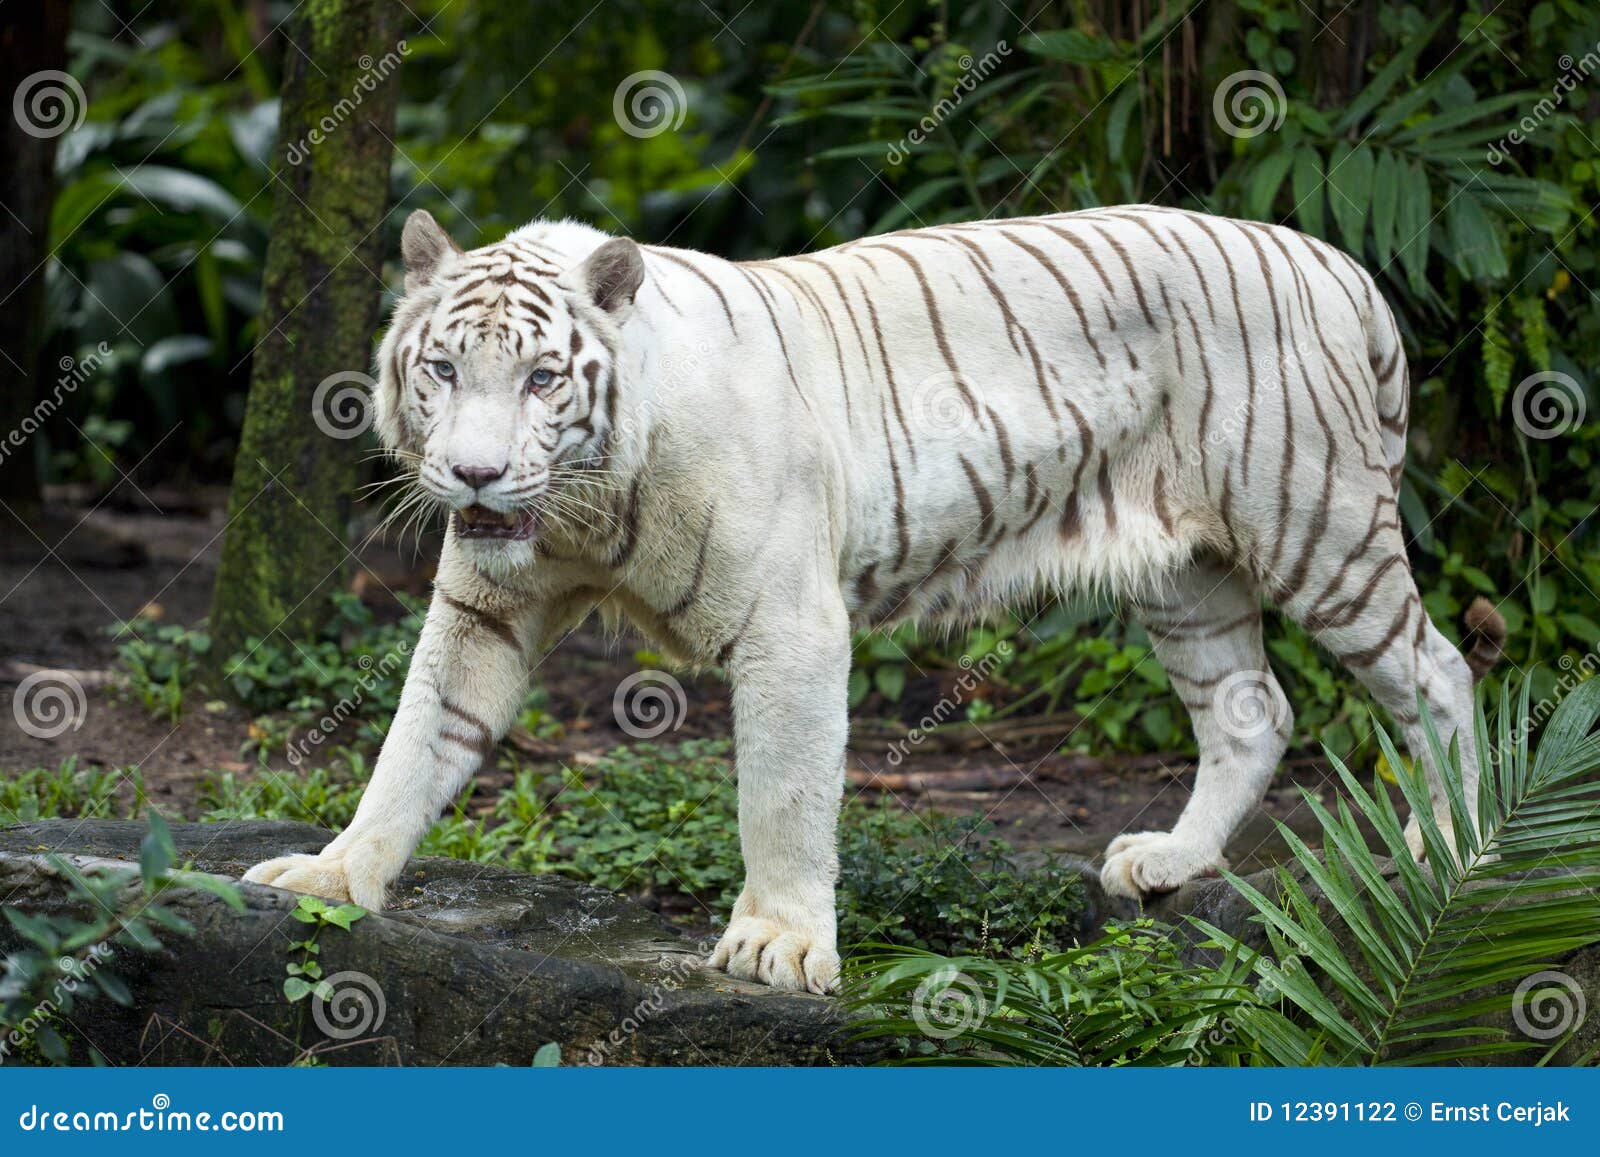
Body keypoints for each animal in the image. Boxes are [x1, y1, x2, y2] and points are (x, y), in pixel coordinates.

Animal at [245, 205, 1505, 995]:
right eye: (442, 368)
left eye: (545, 377)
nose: (472, 473)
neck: (583, 506)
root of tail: (1341, 265)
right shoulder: (486, 610)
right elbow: (416, 743)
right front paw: (332, 876)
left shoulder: (792, 624)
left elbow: (782, 795)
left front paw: (777, 943)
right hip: (1185, 572)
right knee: (1252, 710)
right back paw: (1171, 860)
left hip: (1313, 525)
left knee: (1437, 670)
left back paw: (1451, 844)